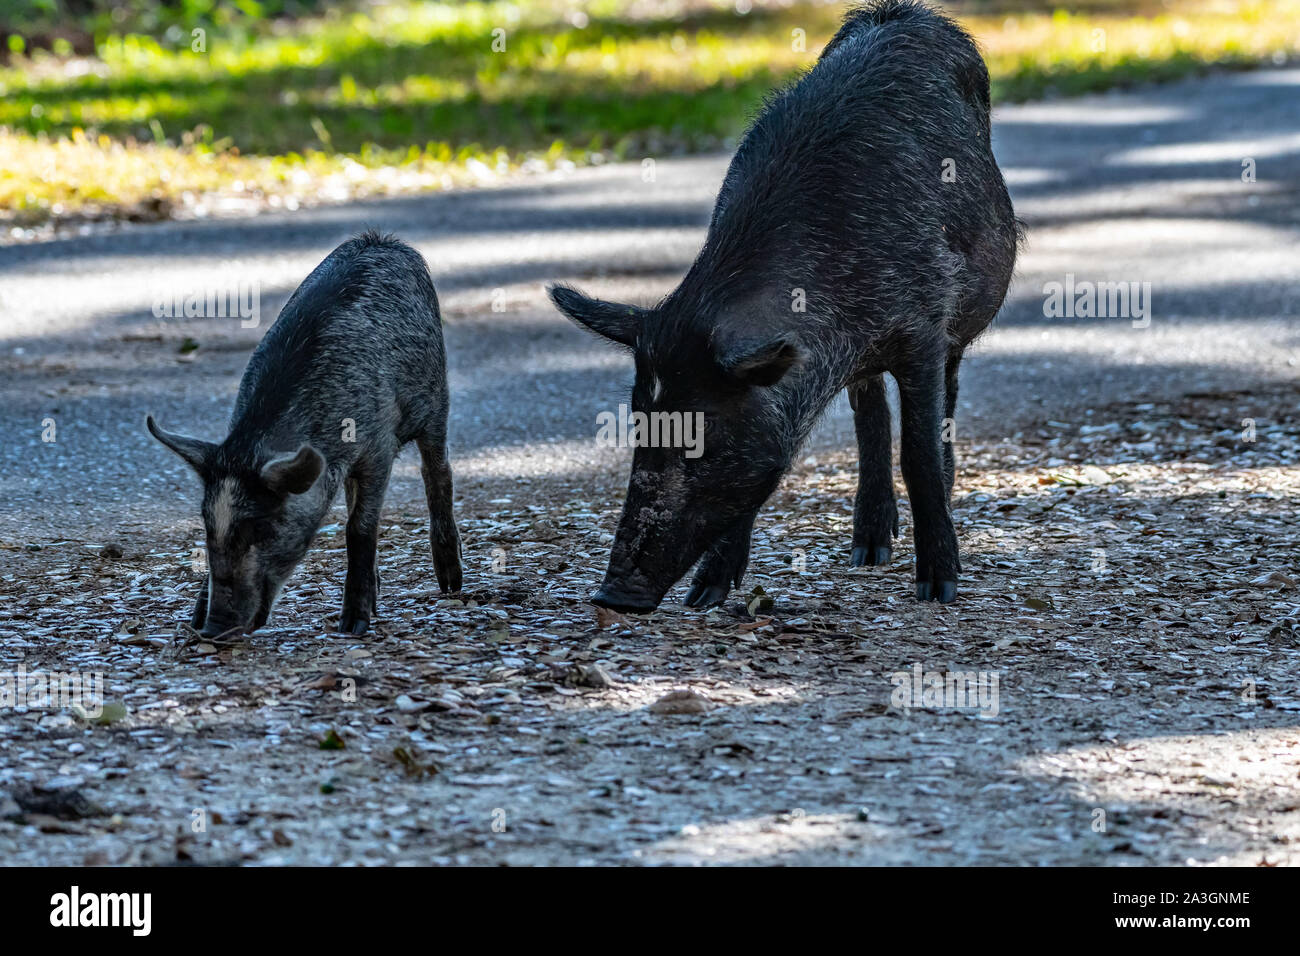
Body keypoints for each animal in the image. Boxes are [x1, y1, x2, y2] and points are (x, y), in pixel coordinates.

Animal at [147, 231, 462, 636]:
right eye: (206, 527)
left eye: (261, 528)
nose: (213, 629)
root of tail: (383, 240)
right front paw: (192, 621)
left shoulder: (378, 446)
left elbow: (360, 527)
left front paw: (352, 626)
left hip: (437, 397)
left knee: (436, 471)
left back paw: (451, 584)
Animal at [549, 0, 1019, 611]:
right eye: (640, 428)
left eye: (704, 440)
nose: (612, 595)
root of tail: (902, 12)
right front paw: (704, 597)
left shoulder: (924, 325)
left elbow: (917, 450)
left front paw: (938, 589)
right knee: (869, 411)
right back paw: (867, 551)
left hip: (961, 321)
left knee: (940, 405)